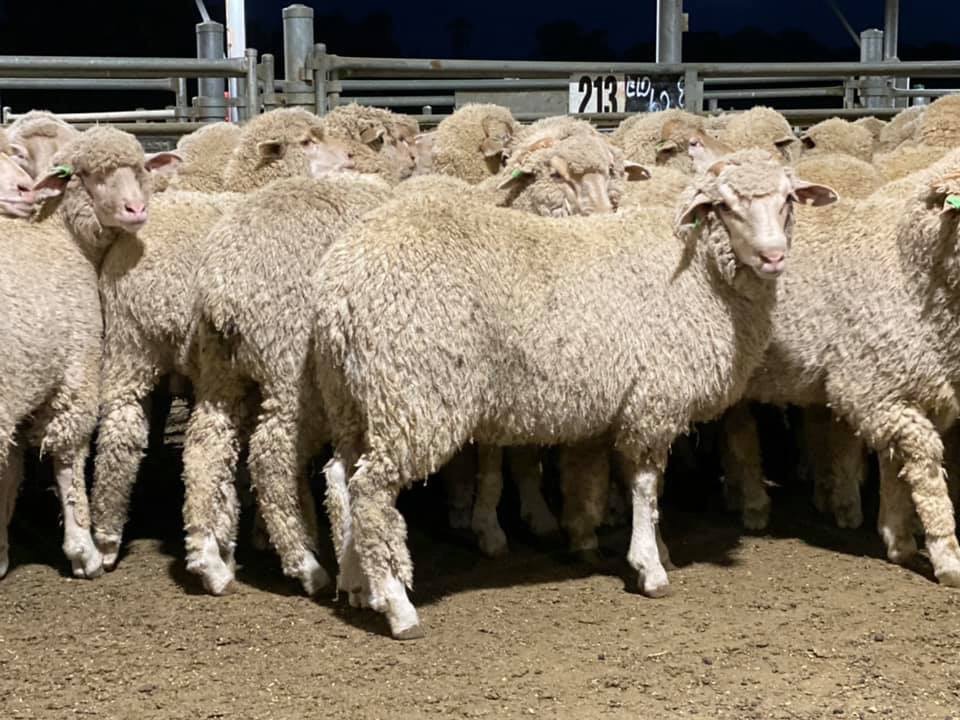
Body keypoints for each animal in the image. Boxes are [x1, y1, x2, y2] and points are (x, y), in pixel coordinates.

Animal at [313, 149, 838, 638]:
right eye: (725, 206)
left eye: (789, 200)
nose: (773, 256)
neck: (701, 274)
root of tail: (341, 286)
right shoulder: (655, 400)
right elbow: (645, 487)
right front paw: (650, 567)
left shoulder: (633, 404)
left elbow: (637, 485)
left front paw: (649, 548)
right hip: (414, 396)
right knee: (370, 490)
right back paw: (397, 605)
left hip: (351, 398)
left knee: (339, 476)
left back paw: (355, 582)